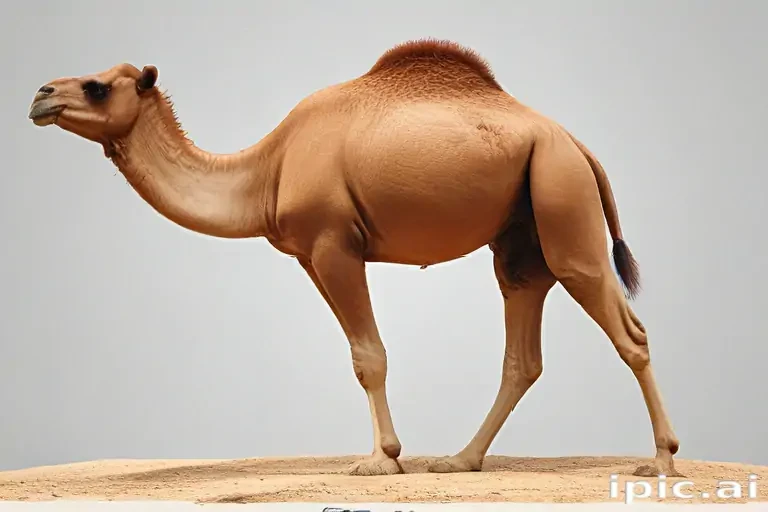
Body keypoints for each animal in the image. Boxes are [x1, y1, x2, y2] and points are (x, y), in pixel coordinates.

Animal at [27, 39, 680, 478]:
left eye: (97, 86)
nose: (40, 95)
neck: (266, 169)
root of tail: (576, 143)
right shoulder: (308, 257)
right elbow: (361, 354)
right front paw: (391, 456)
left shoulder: (332, 242)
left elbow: (369, 356)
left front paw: (382, 460)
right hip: (524, 231)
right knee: (523, 346)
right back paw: (458, 460)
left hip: (563, 200)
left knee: (630, 332)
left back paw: (662, 461)